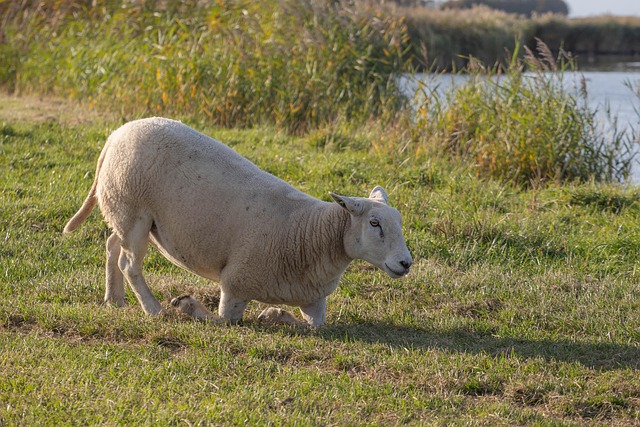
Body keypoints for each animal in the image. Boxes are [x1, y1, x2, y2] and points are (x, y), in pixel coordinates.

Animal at [63, 117, 413, 327]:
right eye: (375, 224)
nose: (406, 263)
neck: (310, 232)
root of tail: (116, 134)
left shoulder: (314, 302)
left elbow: (313, 326)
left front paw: (273, 313)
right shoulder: (235, 282)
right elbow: (222, 321)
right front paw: (186, 305)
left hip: (126, 212)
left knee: (112, 245)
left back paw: (114, 300)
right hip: (132, 208)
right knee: (129, 263)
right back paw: (153, 308)